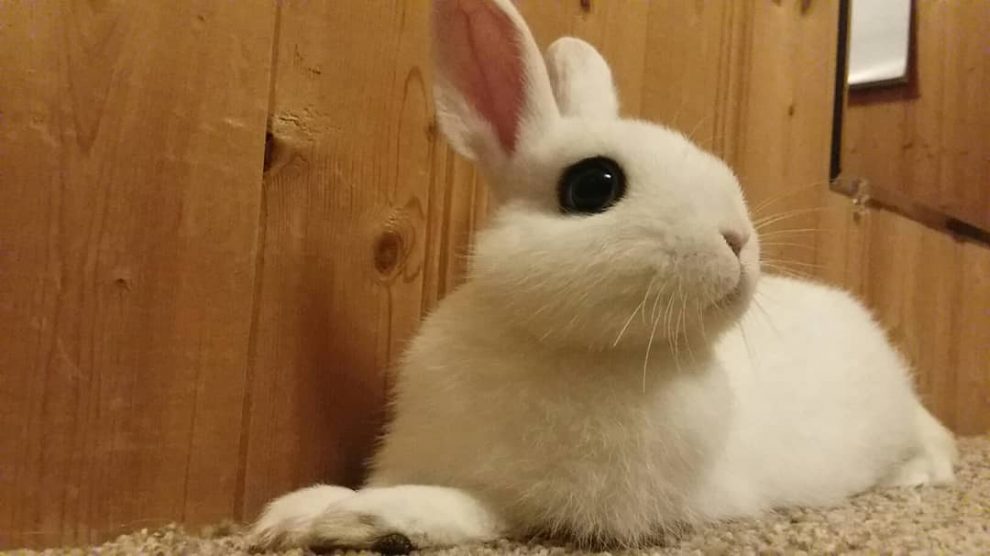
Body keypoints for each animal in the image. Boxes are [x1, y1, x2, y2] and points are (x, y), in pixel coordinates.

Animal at [250, 0, 957, 551]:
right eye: (593, 185)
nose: (737, 239)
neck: (568, 346)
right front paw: (292, 515)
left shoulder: (561, 507)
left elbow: (473, 506)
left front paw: (365, 517)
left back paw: (921, 474)